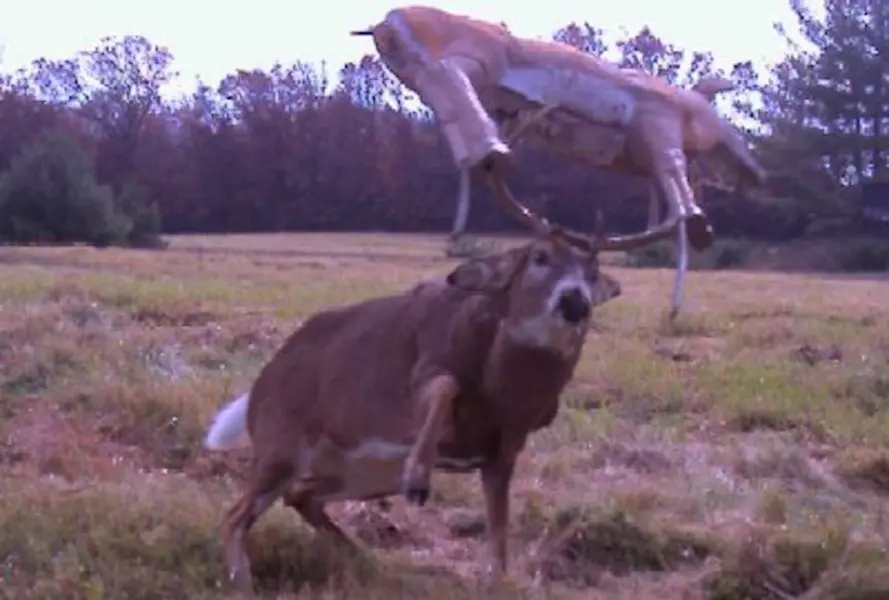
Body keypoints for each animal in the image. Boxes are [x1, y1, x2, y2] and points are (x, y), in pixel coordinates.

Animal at [203, 216, 632, 592]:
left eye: (594, 272)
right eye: (540, 256)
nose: (575, 301)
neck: (500, 396)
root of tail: (258, 388)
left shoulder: (504, 450)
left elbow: (499, 538)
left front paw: (498, 582)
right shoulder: (424, 372)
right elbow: (445, 384)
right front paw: (418, 478)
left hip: (364, 470)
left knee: (298, 495)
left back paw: (363, 558)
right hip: (281, 441)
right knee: (233, 518)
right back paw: (244, 583)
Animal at [350, 5, 768, 318]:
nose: (757, 174)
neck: (690, 110)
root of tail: (385, 21)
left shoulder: (645, 152)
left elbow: (666, 196)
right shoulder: (659, 129)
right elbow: (677, 187)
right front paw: (696, 238)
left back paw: (482, 170)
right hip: (458, 63)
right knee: (448, 80)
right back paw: (493, 156)